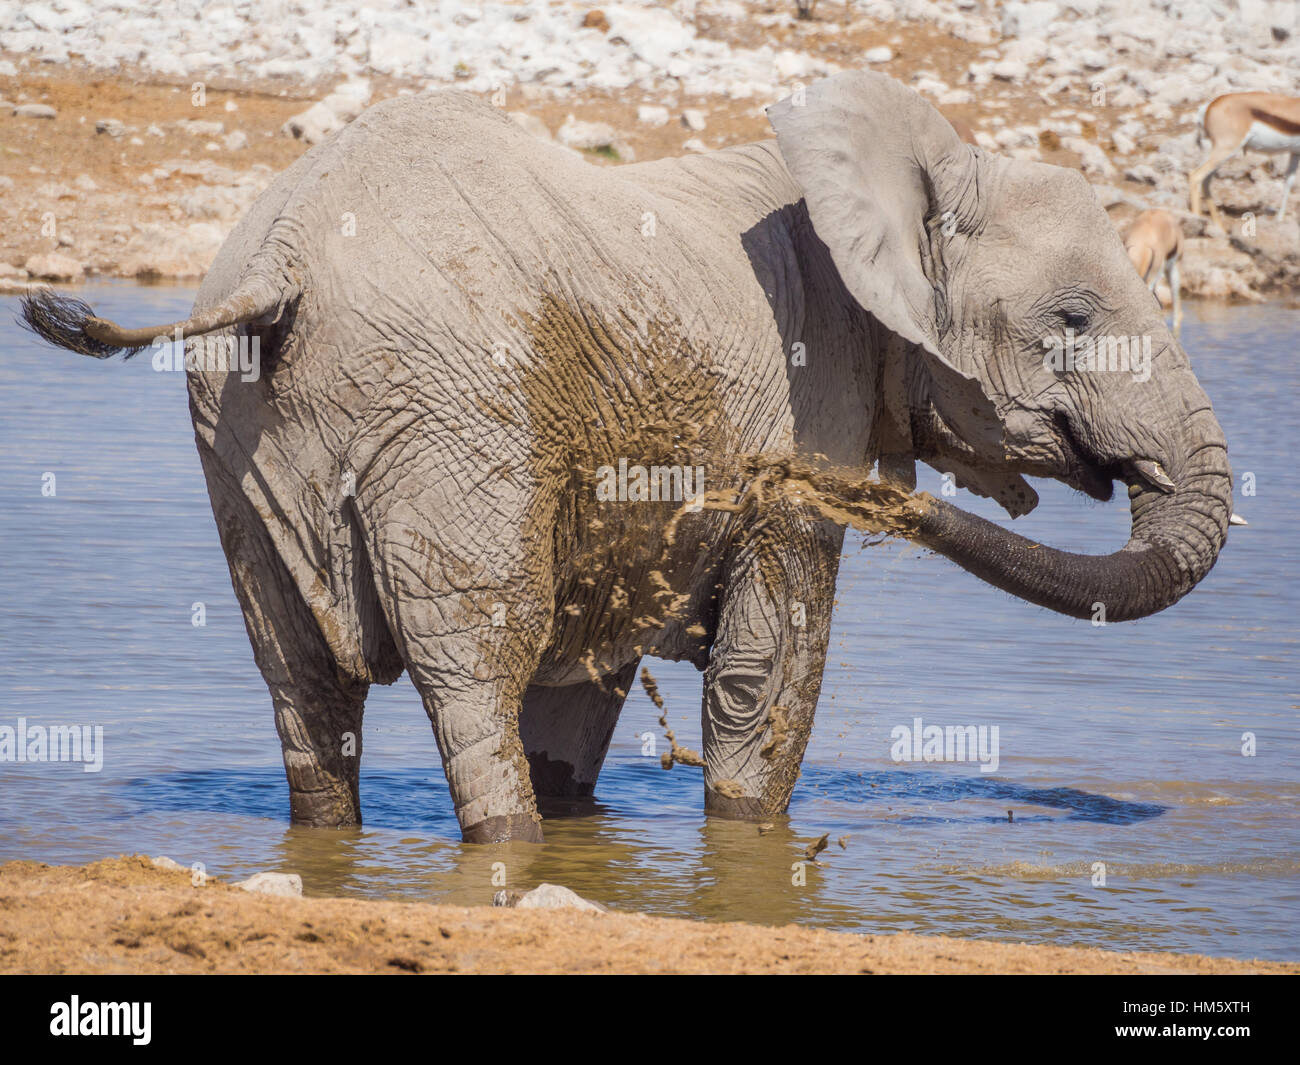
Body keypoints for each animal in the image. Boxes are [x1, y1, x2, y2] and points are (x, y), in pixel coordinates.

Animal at [21, 71, 1234, 843]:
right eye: (1072, 320)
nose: (859, 496)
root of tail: (279, 261)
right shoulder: (811, 380)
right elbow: (766, 668)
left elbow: (585, 686)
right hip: (453, 415)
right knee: (477, 666)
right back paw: (507, 849)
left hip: (238, 429)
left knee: (301, 681)